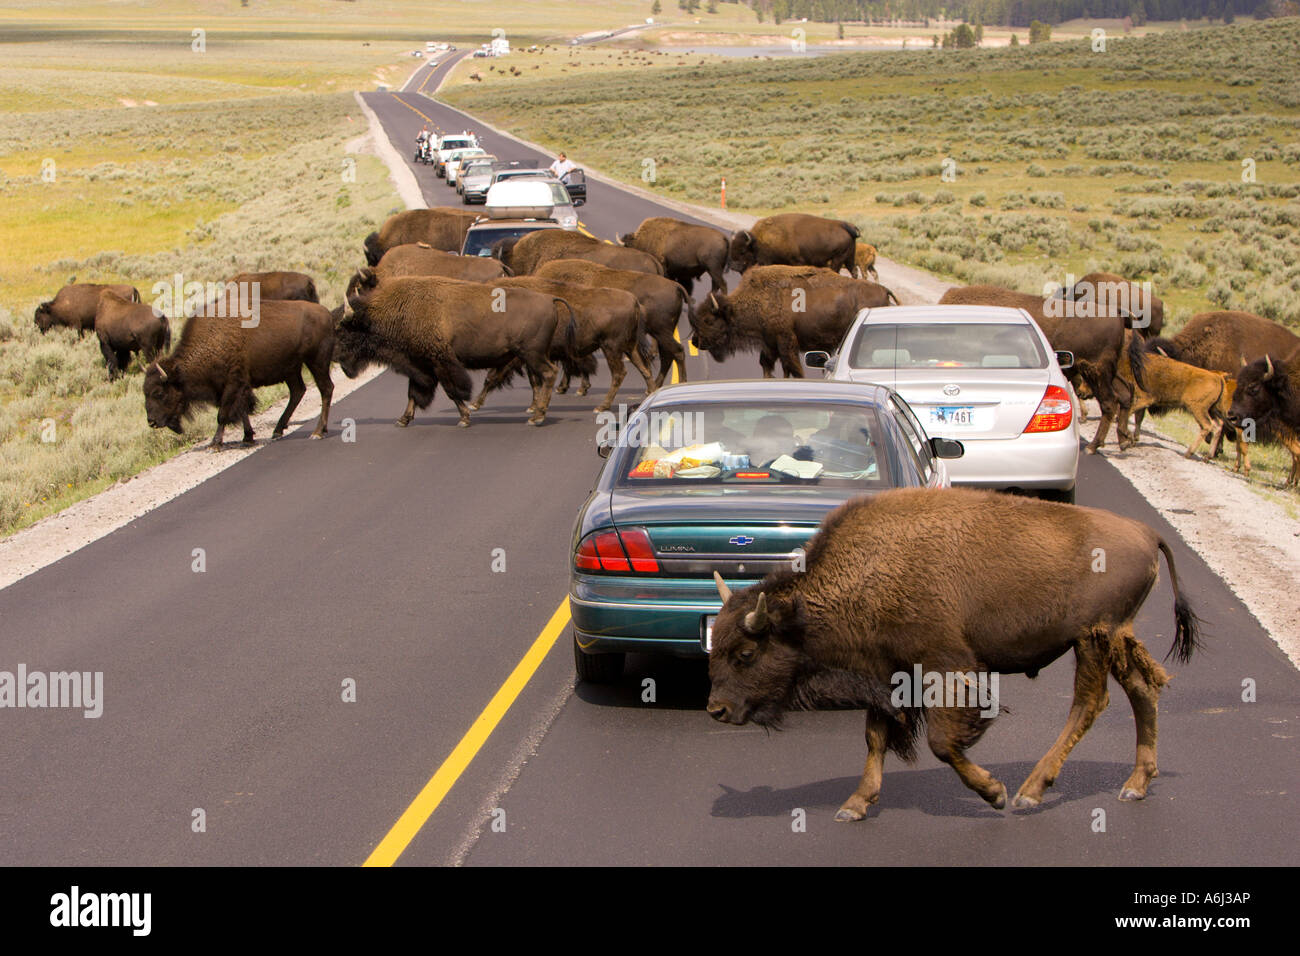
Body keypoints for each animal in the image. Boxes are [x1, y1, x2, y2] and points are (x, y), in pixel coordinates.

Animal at [143, 300, 334, 447]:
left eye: (158, 393)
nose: (151, 421)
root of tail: (326, 314)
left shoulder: (232, 384)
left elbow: (222, 415)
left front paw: (215, 444)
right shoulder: (237, 386)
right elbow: (242, 411)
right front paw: (247, 437)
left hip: (316, 362)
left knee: (326, 389)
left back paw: (317, 432)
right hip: (291, 370)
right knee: (298, 391)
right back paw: (278, 430)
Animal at [690, 266, 897, 378]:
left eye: (708, 320)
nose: (695, 341)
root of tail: (884, 290)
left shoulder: (786, 342)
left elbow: (793, 369)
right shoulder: (771, 344)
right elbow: (772, 367)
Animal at [707, 487, 1200, 820]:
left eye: (746, 654)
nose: (716, 709)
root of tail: (1147, 532)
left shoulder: (944, 668)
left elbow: (942, 743)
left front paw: (993, 793)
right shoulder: (887, 675)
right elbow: (875, 737)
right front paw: (856, 804)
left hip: (1093, 638)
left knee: (1090, 703)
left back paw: (1030, 791)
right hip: (1114, 637)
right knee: (1143, 690)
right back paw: (1135, 784)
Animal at [728, 213, 859, 275]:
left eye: (742, 251)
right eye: (732, 249)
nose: (733, 266)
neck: (757, 241)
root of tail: (845, 225)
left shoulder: (795, 262)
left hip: (838, 259)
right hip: (849, 257)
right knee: (854, 271)